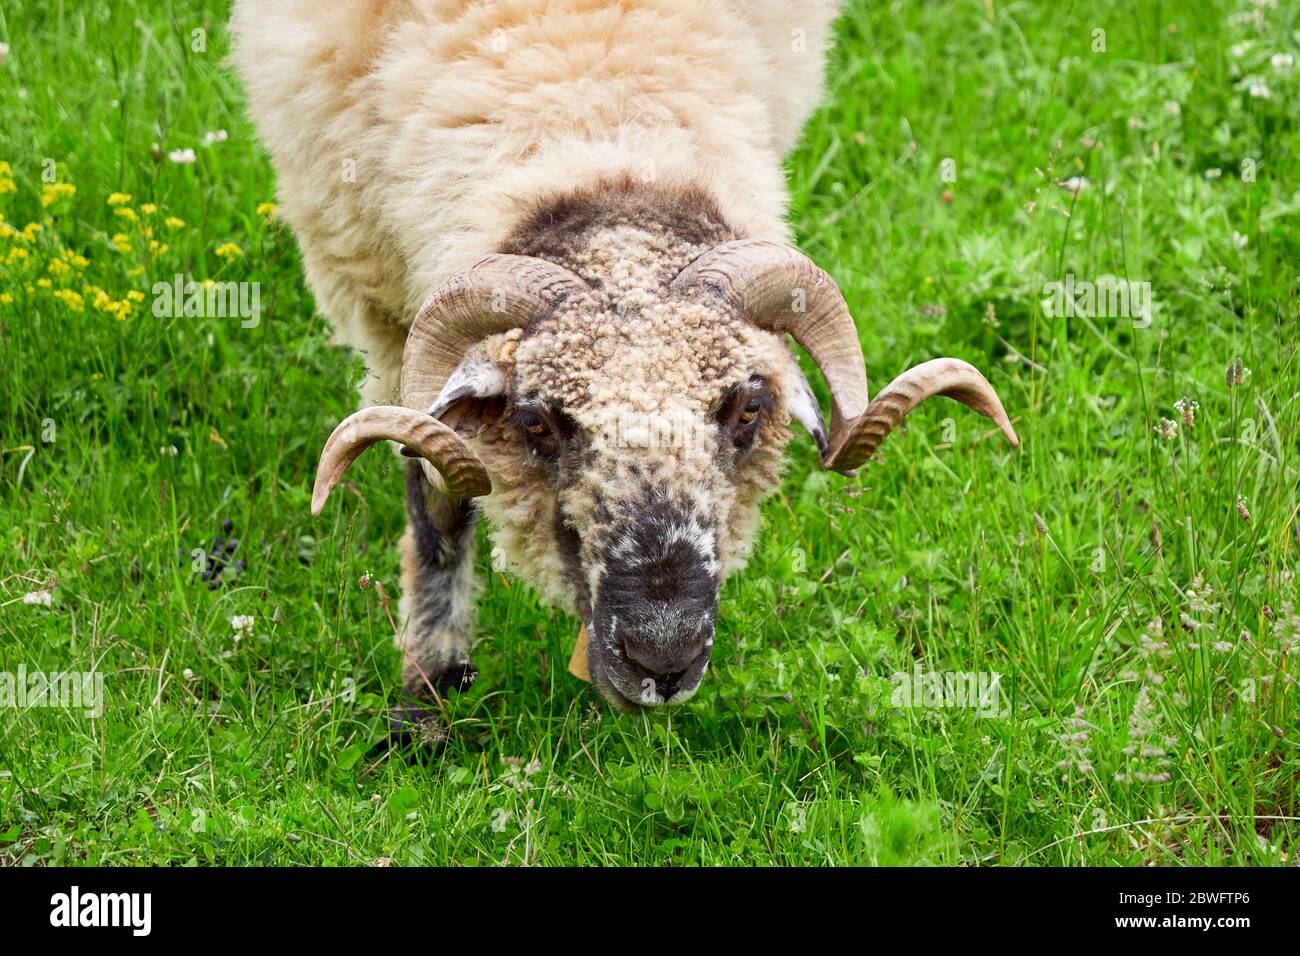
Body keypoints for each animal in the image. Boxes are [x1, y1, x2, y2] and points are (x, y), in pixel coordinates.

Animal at [230, 0, 1019, 724]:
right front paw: (427, 693)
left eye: (747, 408)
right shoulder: (385, 315)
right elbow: (436, 507)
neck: (592, 99)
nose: (661, 656)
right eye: (537, 422)